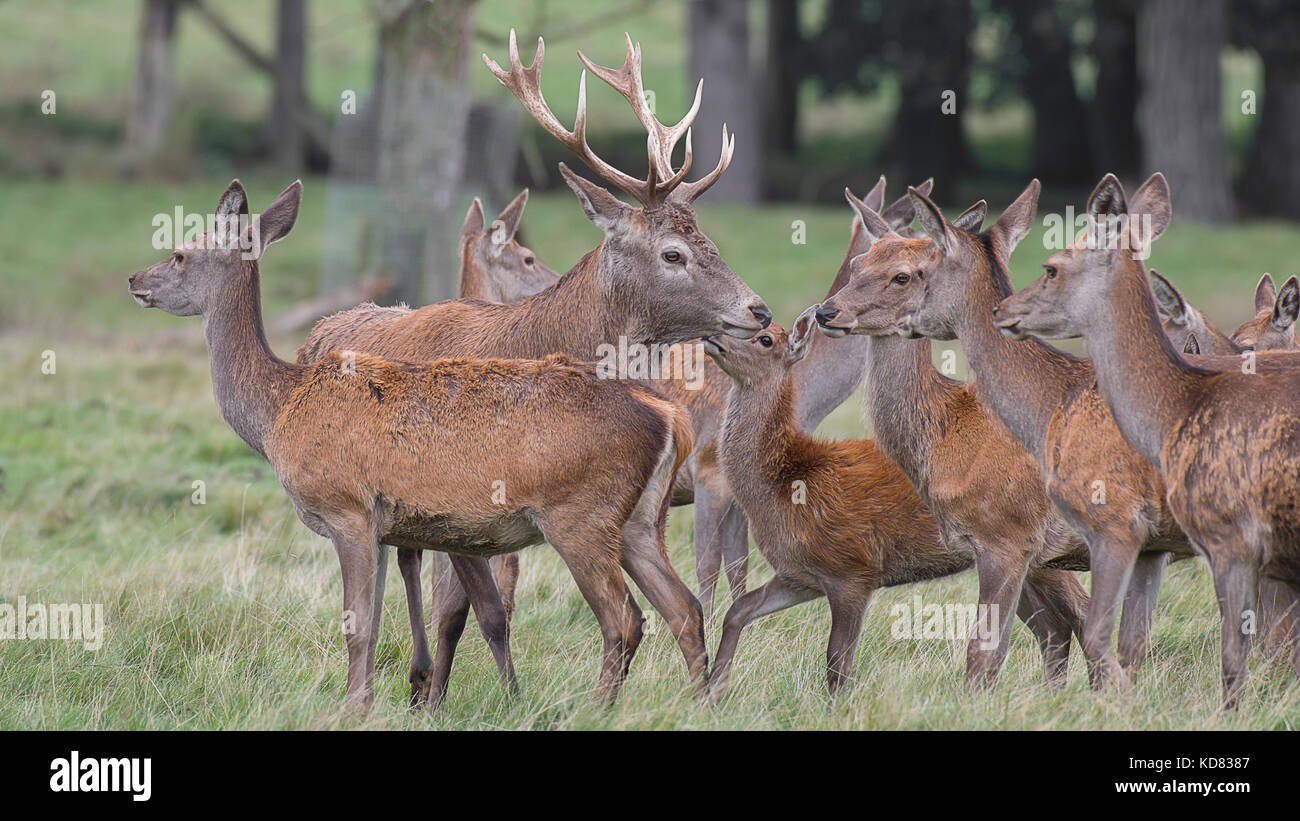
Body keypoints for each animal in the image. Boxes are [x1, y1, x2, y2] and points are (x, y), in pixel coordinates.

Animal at [127, 179, 711, 711]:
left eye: (180, 253)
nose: (134, 278)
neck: (278, 412)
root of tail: (670, 418)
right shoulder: (383, 524)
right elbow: (375, 619)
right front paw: (372, 702)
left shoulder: (348, 509)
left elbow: (358, 625)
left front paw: (353, 709)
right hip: (640, 520)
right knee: (685, 607)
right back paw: (701, 705)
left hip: (580, 515)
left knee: (623, 618)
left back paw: (596, 709)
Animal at [296, 33, 769, 706]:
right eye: (673, 253)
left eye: (712, 244)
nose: (759, 309)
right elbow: (459, 607)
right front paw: (441, 699)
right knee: (409, 565)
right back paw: (418, 677)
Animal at [703, 315, 972, 699]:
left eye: (766, 339)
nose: (712, 336)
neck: (785, 486)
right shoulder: (799, 574)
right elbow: (738, 609)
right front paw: (711, 690)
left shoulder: (853, 569)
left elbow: (837, 659)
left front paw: (838, 705)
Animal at [812, 184, 1091, 691]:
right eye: (858, 263)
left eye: (903, 276)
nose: (827, 311)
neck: (948, 431)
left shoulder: (1010, 534)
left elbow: (983, 653)